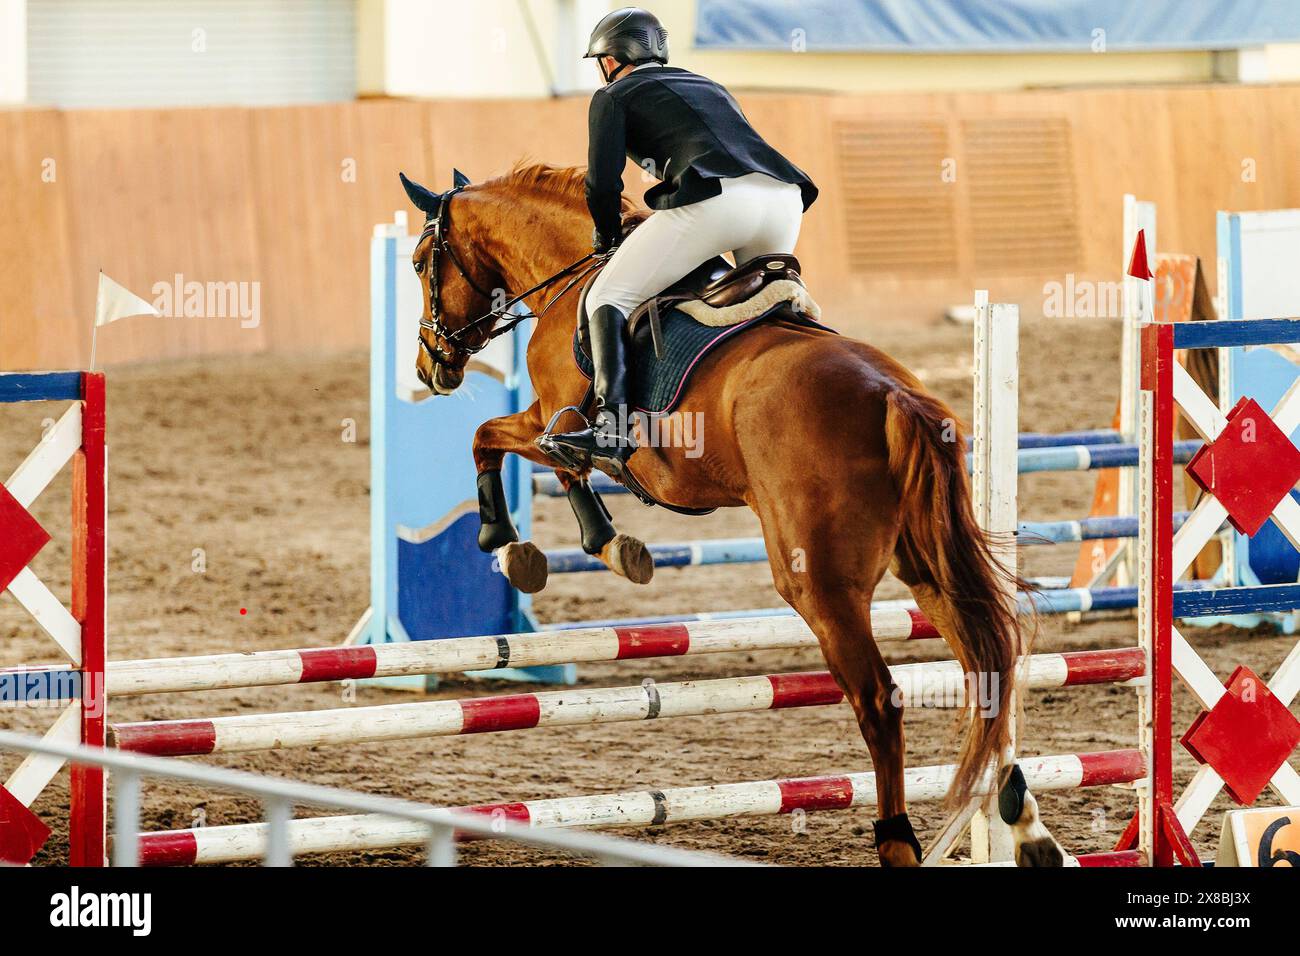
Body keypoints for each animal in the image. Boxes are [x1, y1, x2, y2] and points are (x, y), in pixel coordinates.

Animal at [399, 163, 1062, 867]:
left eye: (419, 261)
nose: (429, 365)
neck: (570, 273)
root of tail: (892, 393)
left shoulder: (554, 418)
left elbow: (498, 439)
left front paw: (515, 541)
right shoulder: (552, 423)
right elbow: (527, 452)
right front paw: (603, 544)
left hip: (817, 583)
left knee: (881, 701)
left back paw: (899, 842)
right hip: (927, 569)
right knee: (988, 668)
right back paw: (1025, 825)